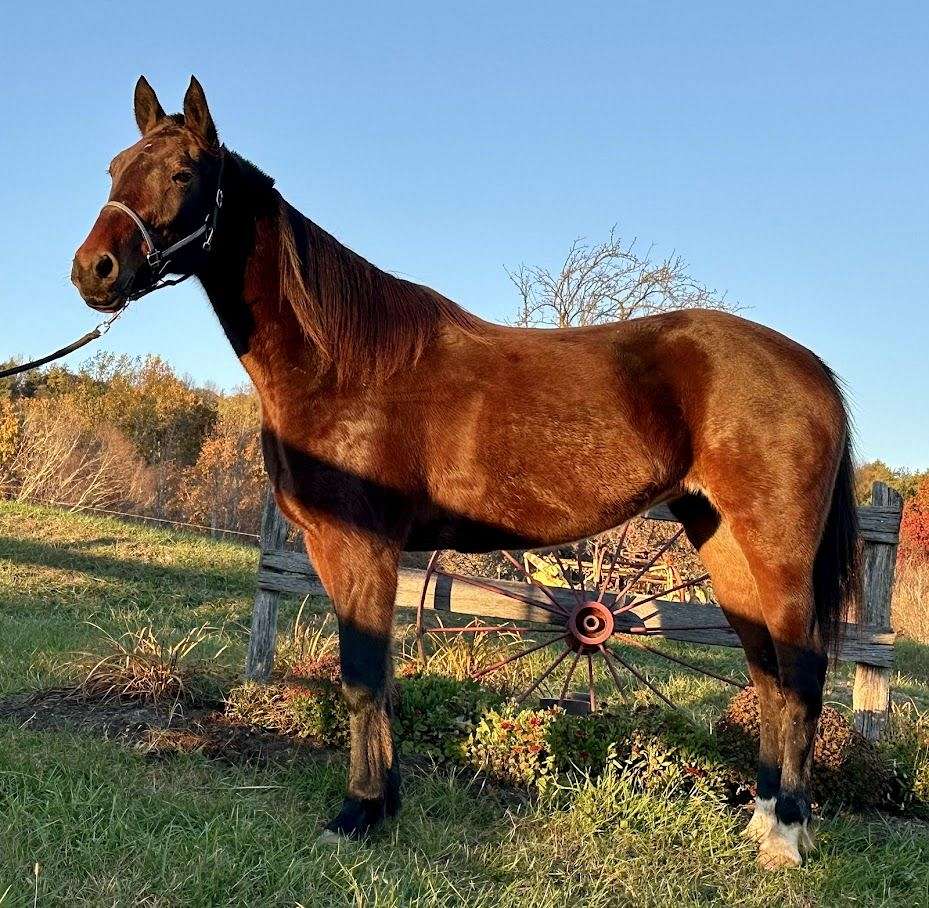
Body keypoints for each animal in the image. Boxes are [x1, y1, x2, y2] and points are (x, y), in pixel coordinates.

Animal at [71, 76, 859, 869]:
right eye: (112, 168)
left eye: (182, 173)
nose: (92, 271)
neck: (344, 363)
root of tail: (813, 369)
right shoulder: (330, 546)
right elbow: (375, 677)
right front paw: (383, 802)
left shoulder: (365, 545)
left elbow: (362, 676)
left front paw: (356, 813)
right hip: (720, 540)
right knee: (766, 671)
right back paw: (761, 819)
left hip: (777, 550)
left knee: (801, 674)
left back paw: (786, 837)